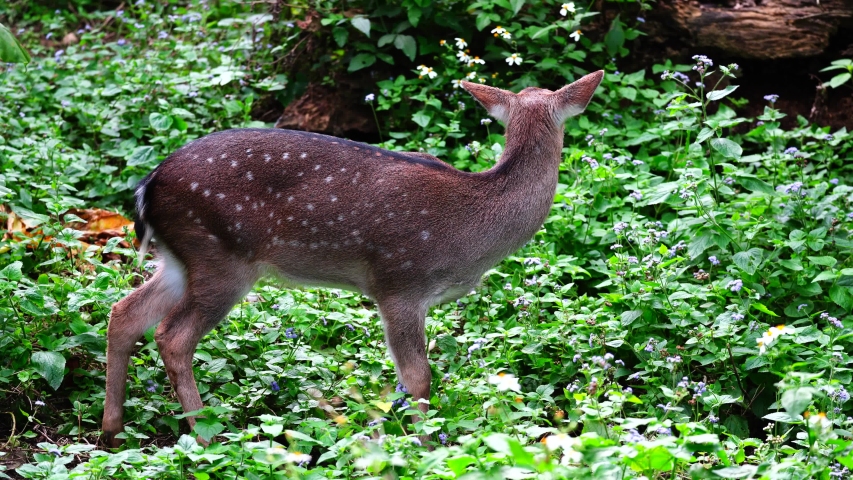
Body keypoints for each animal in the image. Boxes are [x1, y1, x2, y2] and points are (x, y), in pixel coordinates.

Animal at [101, 71, 603, 448]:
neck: (475, 225)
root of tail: (146, 189)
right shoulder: (400, 282)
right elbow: (418, 377)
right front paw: (424, 448)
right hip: (222, 258)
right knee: (171, 336)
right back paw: (206, 437)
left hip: (182, 258)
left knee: (124, 312)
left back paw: (113, 429)